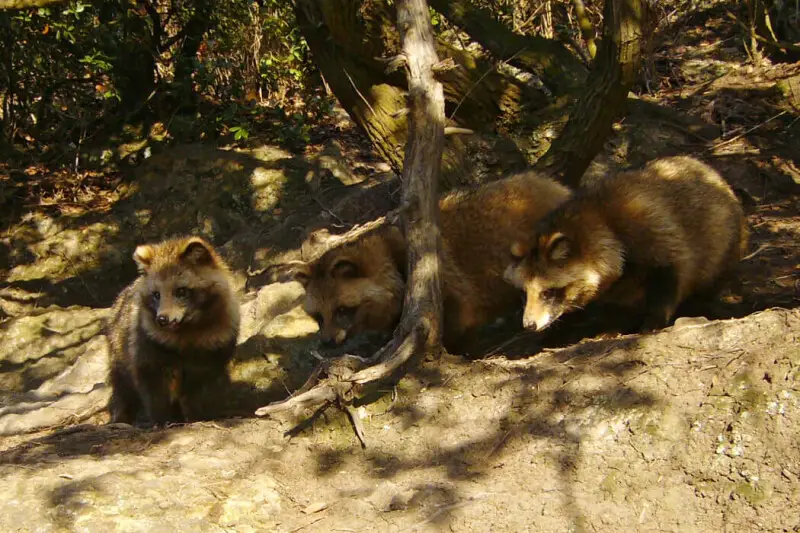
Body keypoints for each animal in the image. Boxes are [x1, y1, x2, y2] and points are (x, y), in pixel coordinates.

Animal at [107, 236, 240, 425]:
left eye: (181, 291)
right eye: (156, 294)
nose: (162, 320)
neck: (186, 327)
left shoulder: (214, 343)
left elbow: (202, 386)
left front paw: (198, 416)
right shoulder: (148, 341)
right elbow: (153, 385)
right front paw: (161, 418)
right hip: (119, 345)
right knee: (123, 385)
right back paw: (122, 416)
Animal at [284, 171, 572, 353]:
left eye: (342, 309)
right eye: (318, 316)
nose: (327, 343)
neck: (391, 257)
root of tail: (556, 186)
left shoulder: (443, 280)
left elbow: (460, 321)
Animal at [504, 156, 749, 333]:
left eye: (547, 292)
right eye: (525, 293)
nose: (529, 326)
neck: (600, 221)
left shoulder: (654, 231)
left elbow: (673, 273)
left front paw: (654, 320)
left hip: (726, 240)